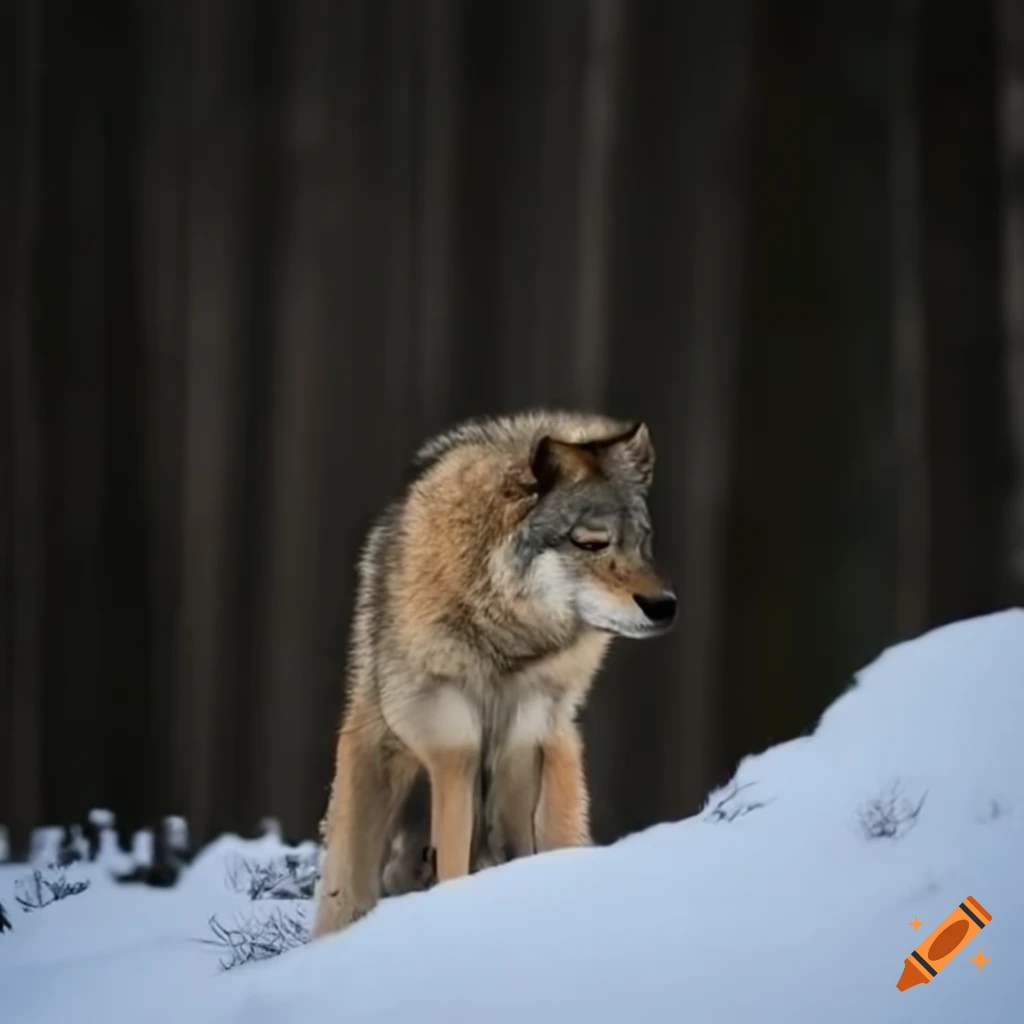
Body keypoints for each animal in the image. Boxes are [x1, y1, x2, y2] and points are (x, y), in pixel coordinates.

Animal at [311, 410, 675, 938]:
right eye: (591, 542)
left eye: (642, 543)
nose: (665, 605)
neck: (504, 649)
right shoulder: (452, 750)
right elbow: (453, 856)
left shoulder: (523, 738)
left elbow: (517, 850)